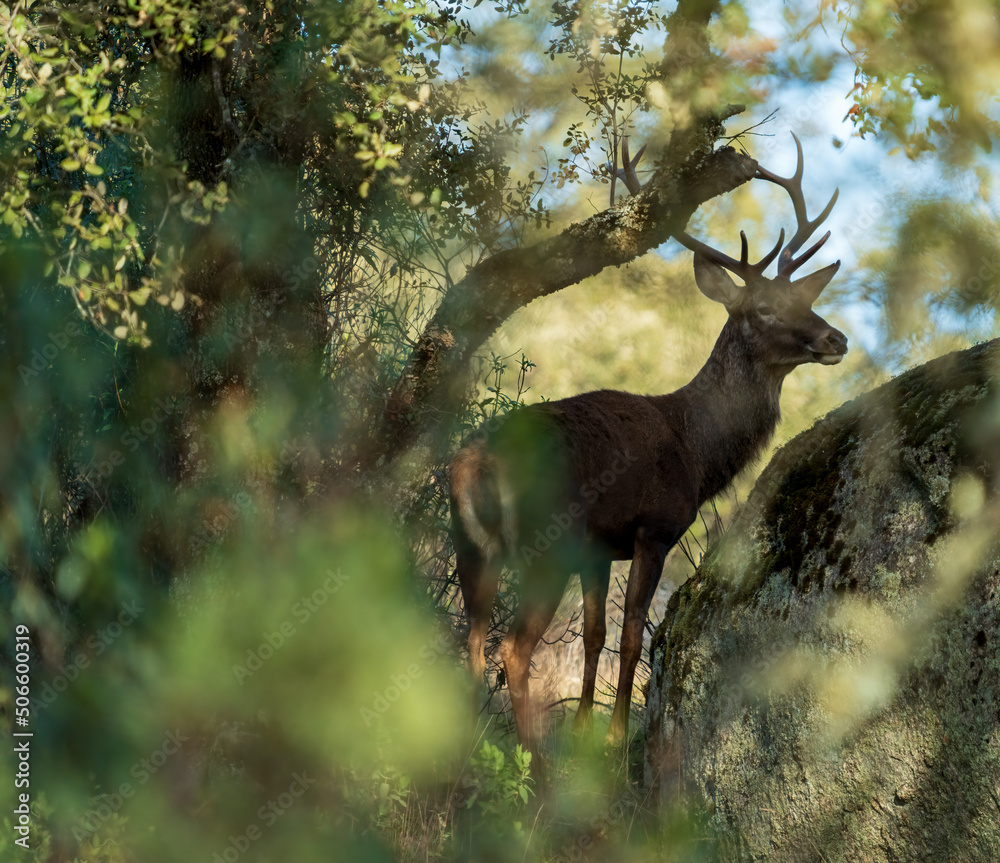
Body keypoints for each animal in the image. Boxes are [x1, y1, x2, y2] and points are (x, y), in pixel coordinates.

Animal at [449, 134, 848, 749]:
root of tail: (475, 463)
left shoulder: (597, 548)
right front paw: (614, 740)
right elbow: (631, 635)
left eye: (806, 303)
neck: (698, 451)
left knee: (469, 645)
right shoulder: (654, 527)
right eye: (764, 309)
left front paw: (585, 732)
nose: (836, 338)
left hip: (470, 547)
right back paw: (535, 761)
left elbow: (594, 635)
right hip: (546, 540)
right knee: (512, 650)